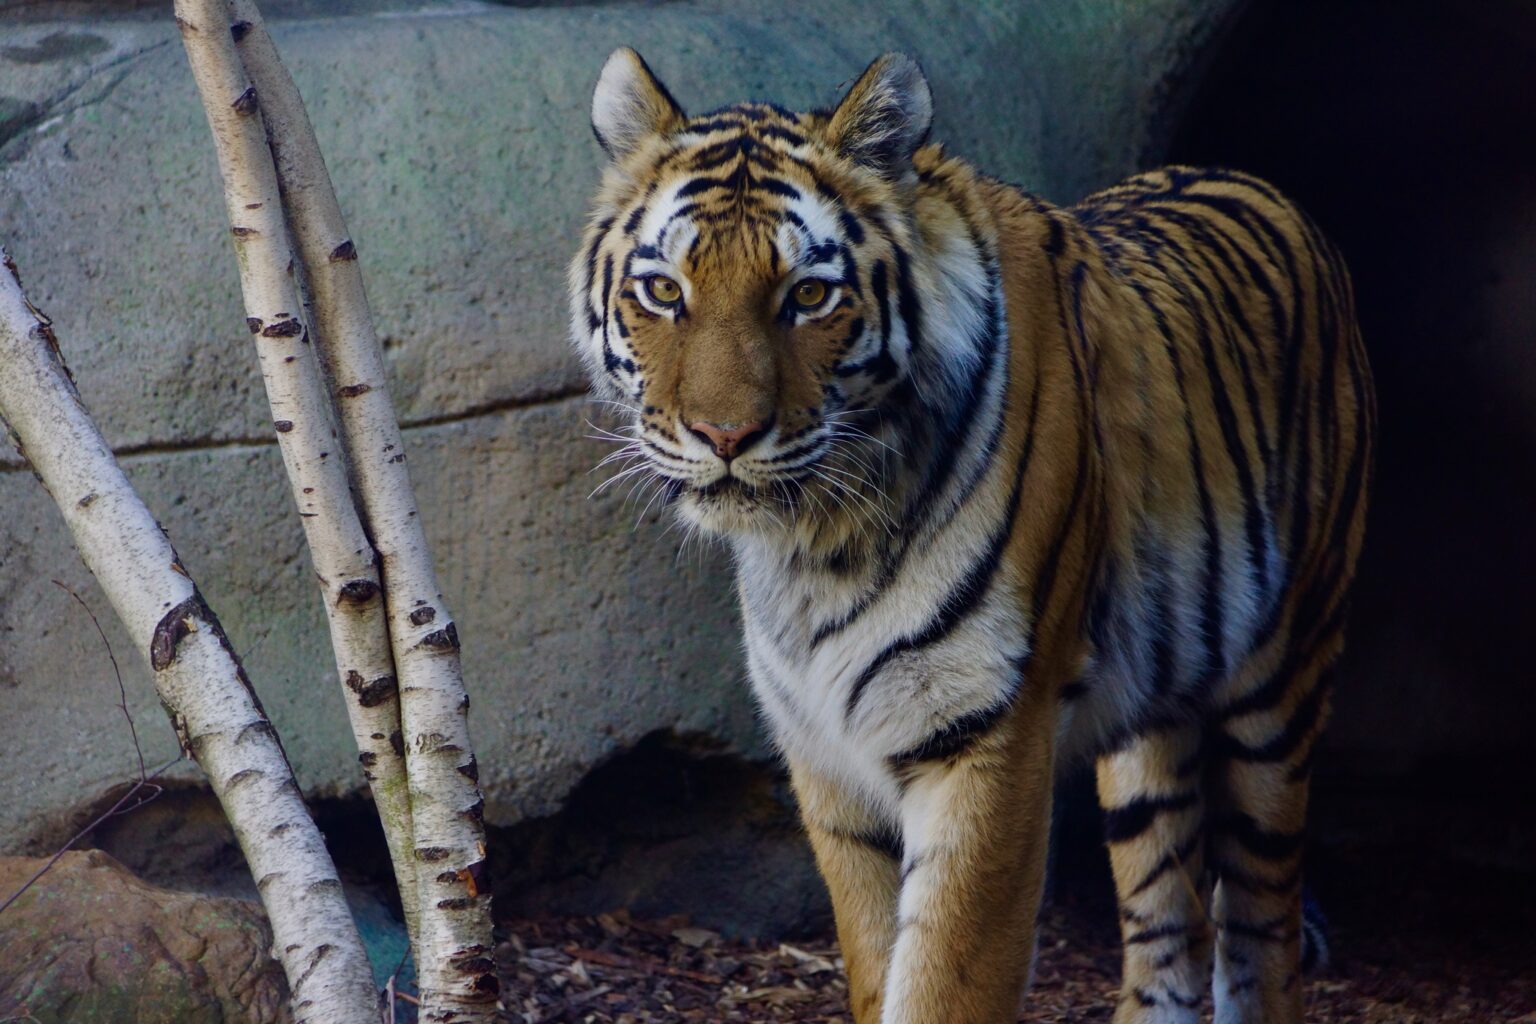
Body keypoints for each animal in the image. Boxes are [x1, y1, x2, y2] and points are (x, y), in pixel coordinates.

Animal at [569, 48, 1374, 1024]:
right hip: (1148, 744)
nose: (725, 437)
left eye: (808, 295)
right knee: (1168, 922)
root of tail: (1255, 180)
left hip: (1280, 693)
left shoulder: (986, 739)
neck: (813, 543)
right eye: (663, 290)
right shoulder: (826, 763)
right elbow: (876, 967)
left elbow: (945, 981)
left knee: (1264, 928)